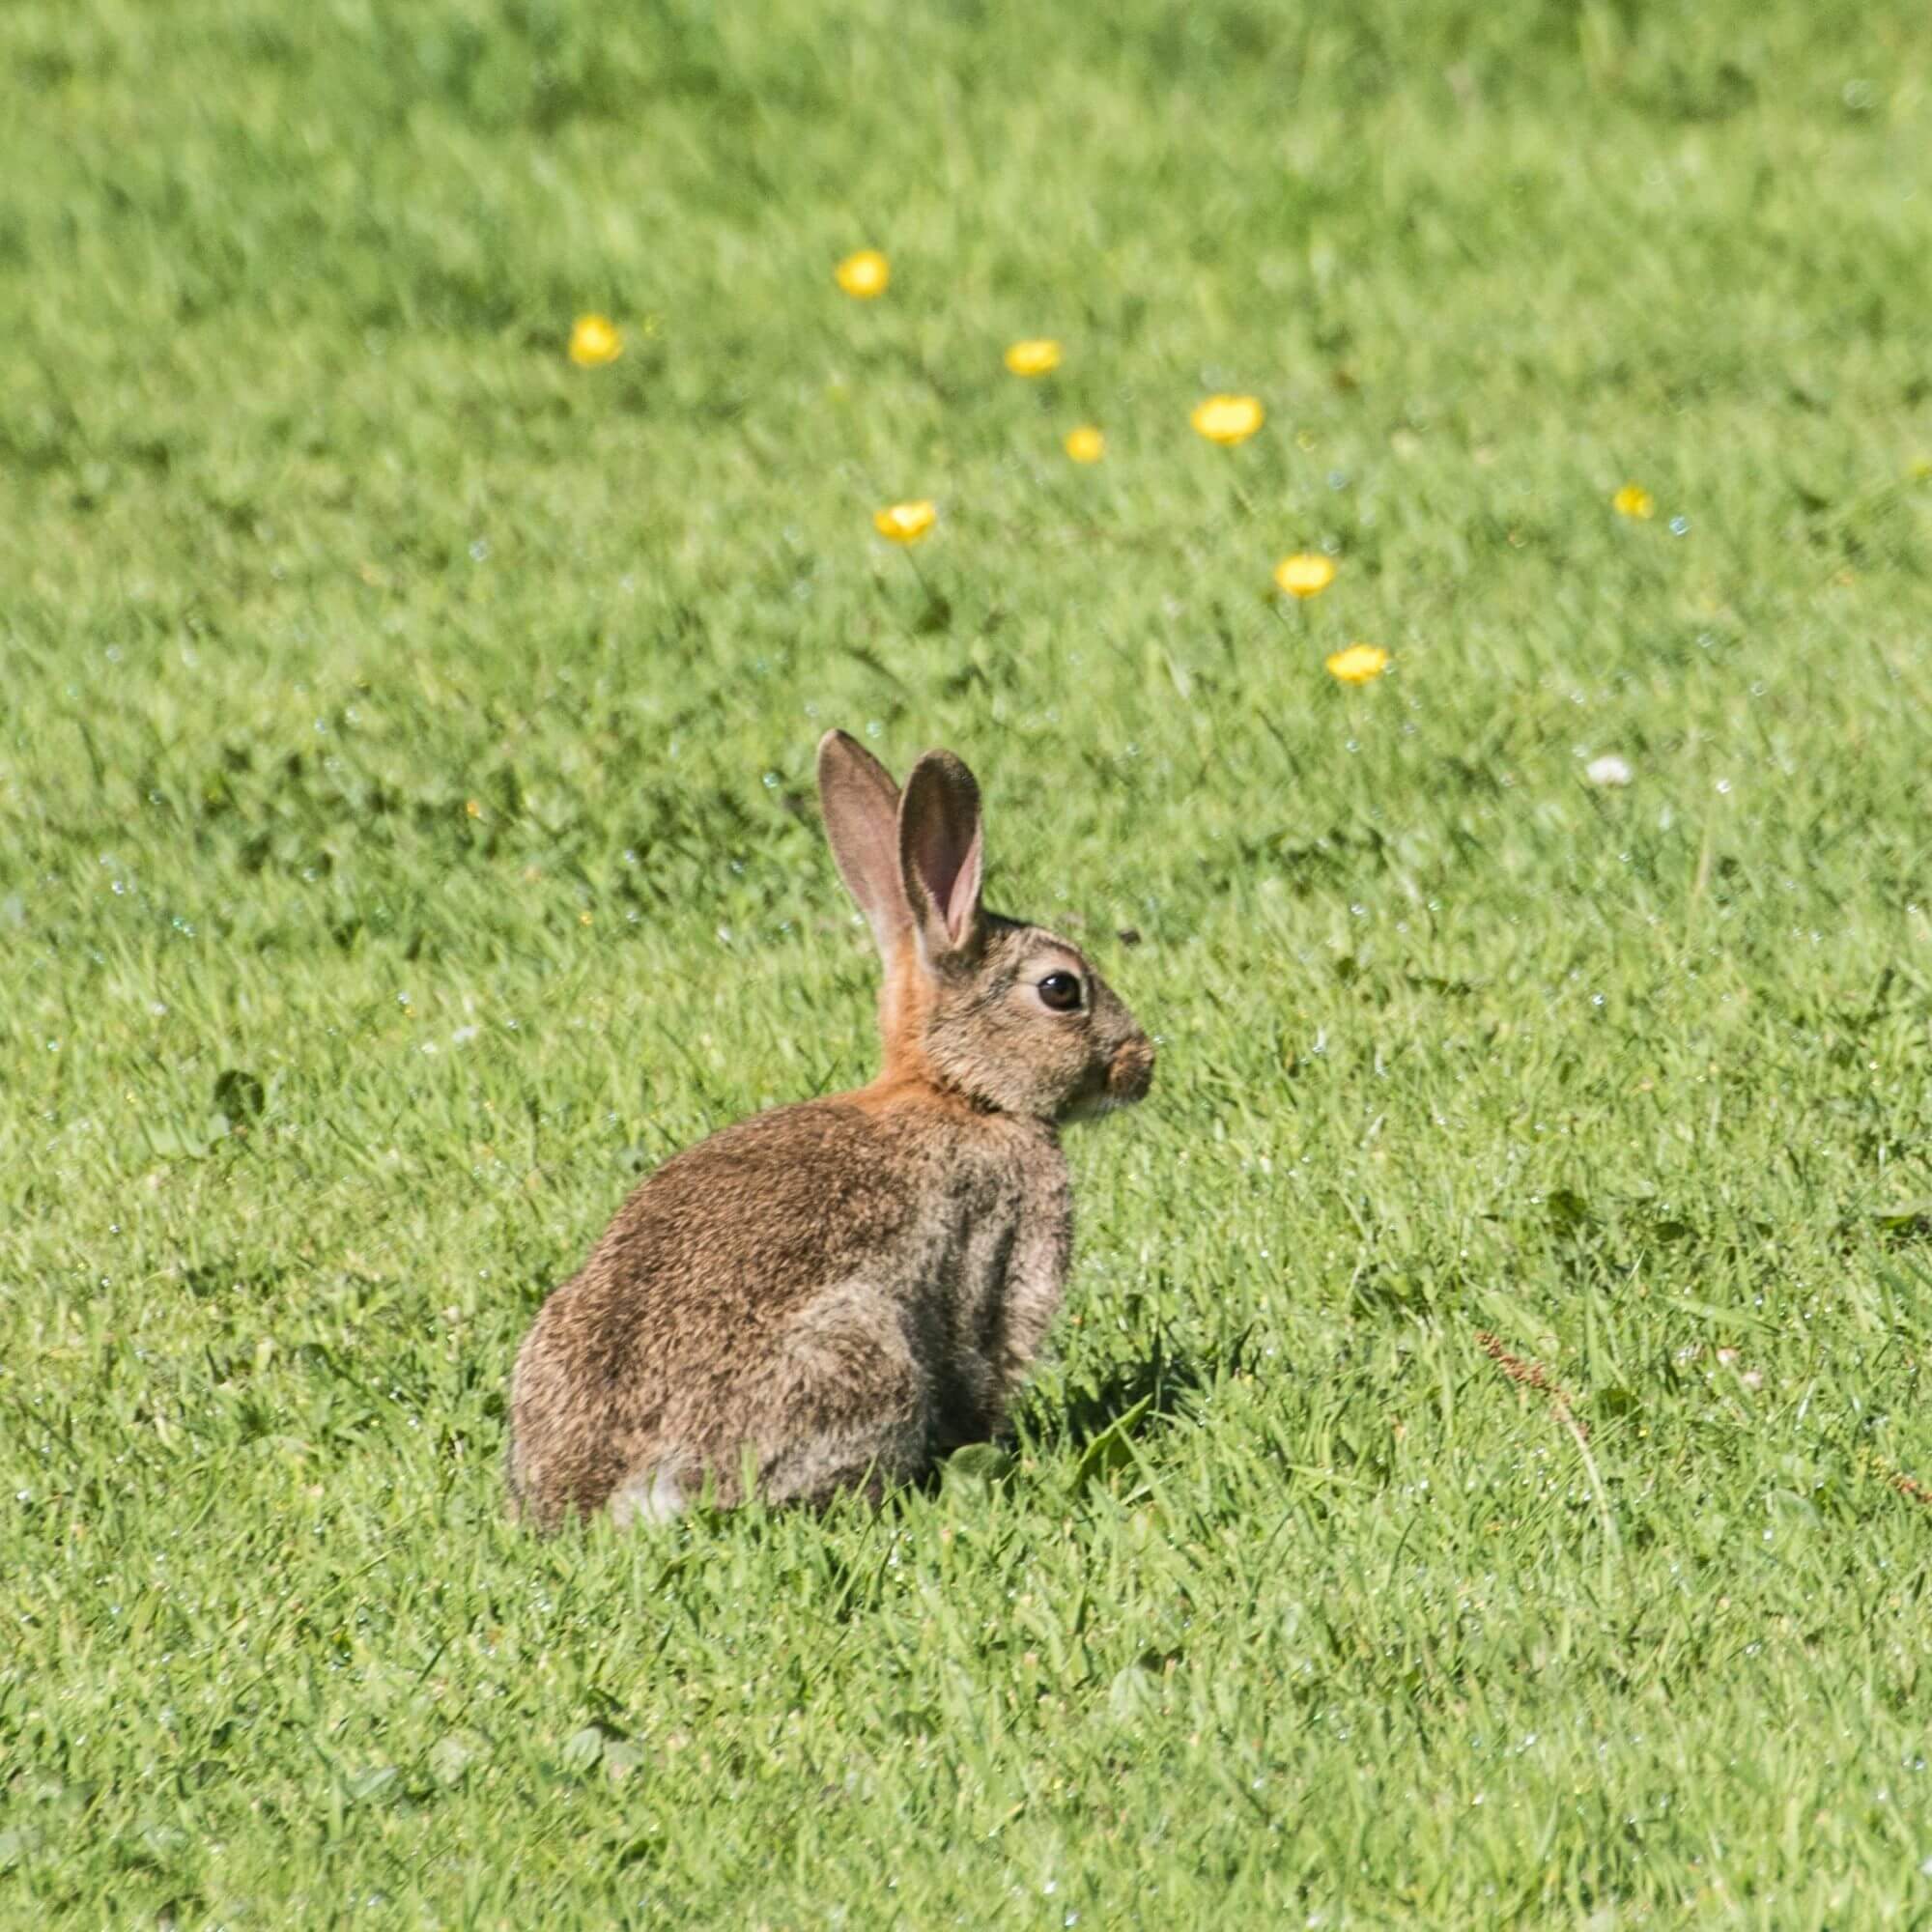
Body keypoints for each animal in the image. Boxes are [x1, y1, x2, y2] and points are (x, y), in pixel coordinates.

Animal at [506, 730, 1154, 1529]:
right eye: (1062, 990)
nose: (1142, 1065)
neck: (957, 1090)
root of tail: (616, 1493)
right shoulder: (1003, 1247)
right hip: (862, 1354)